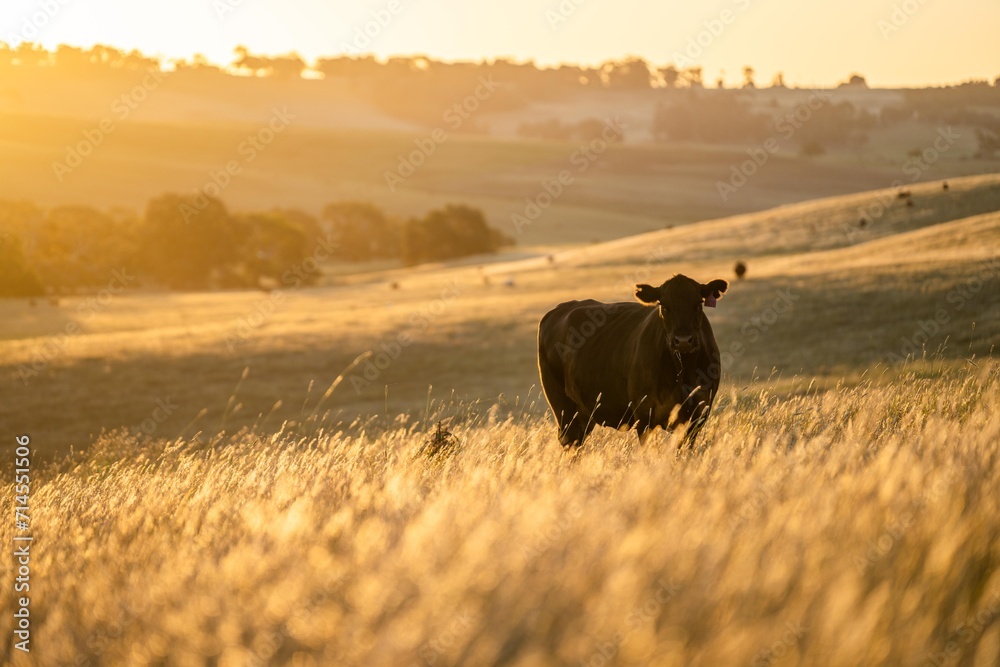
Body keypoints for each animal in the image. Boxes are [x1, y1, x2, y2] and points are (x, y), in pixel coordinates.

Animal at [537, 274, 728, 449]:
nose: (683, 340)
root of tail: (560, 308)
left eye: (698, 304)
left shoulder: (697, 416)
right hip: (563, 408)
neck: (683, 369)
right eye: (664, 306)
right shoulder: (644, 416)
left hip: (584, 414)